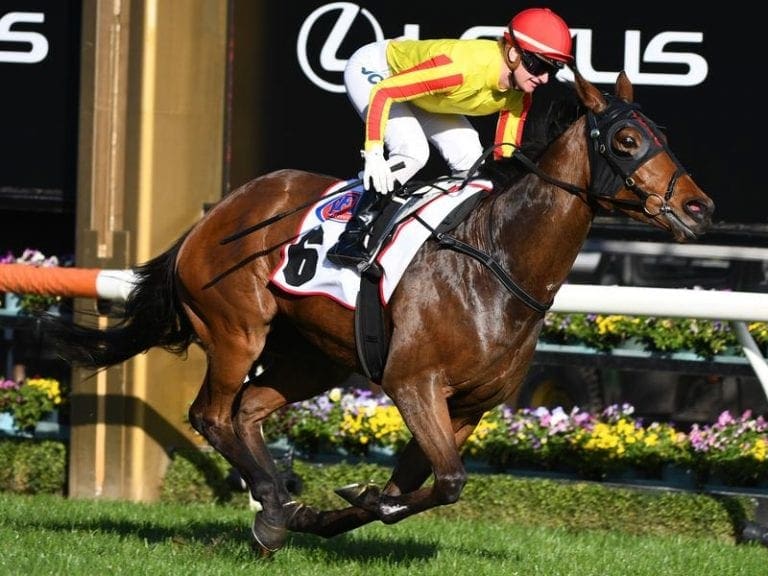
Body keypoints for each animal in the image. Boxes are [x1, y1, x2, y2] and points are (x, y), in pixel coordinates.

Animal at [46, 72, 714, 555]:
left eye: (664, 136)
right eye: (627, 141)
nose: (699, 207)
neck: (496, 260)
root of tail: (215, 214)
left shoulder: (468, 406)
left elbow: (415, 487)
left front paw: (333, 507)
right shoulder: (412, 383)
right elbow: (446, 482)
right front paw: (330, 502)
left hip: (312, 359)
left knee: (246, 412)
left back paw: (279, 502)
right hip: (237, 329)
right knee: (210, 414)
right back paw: (270, 505)